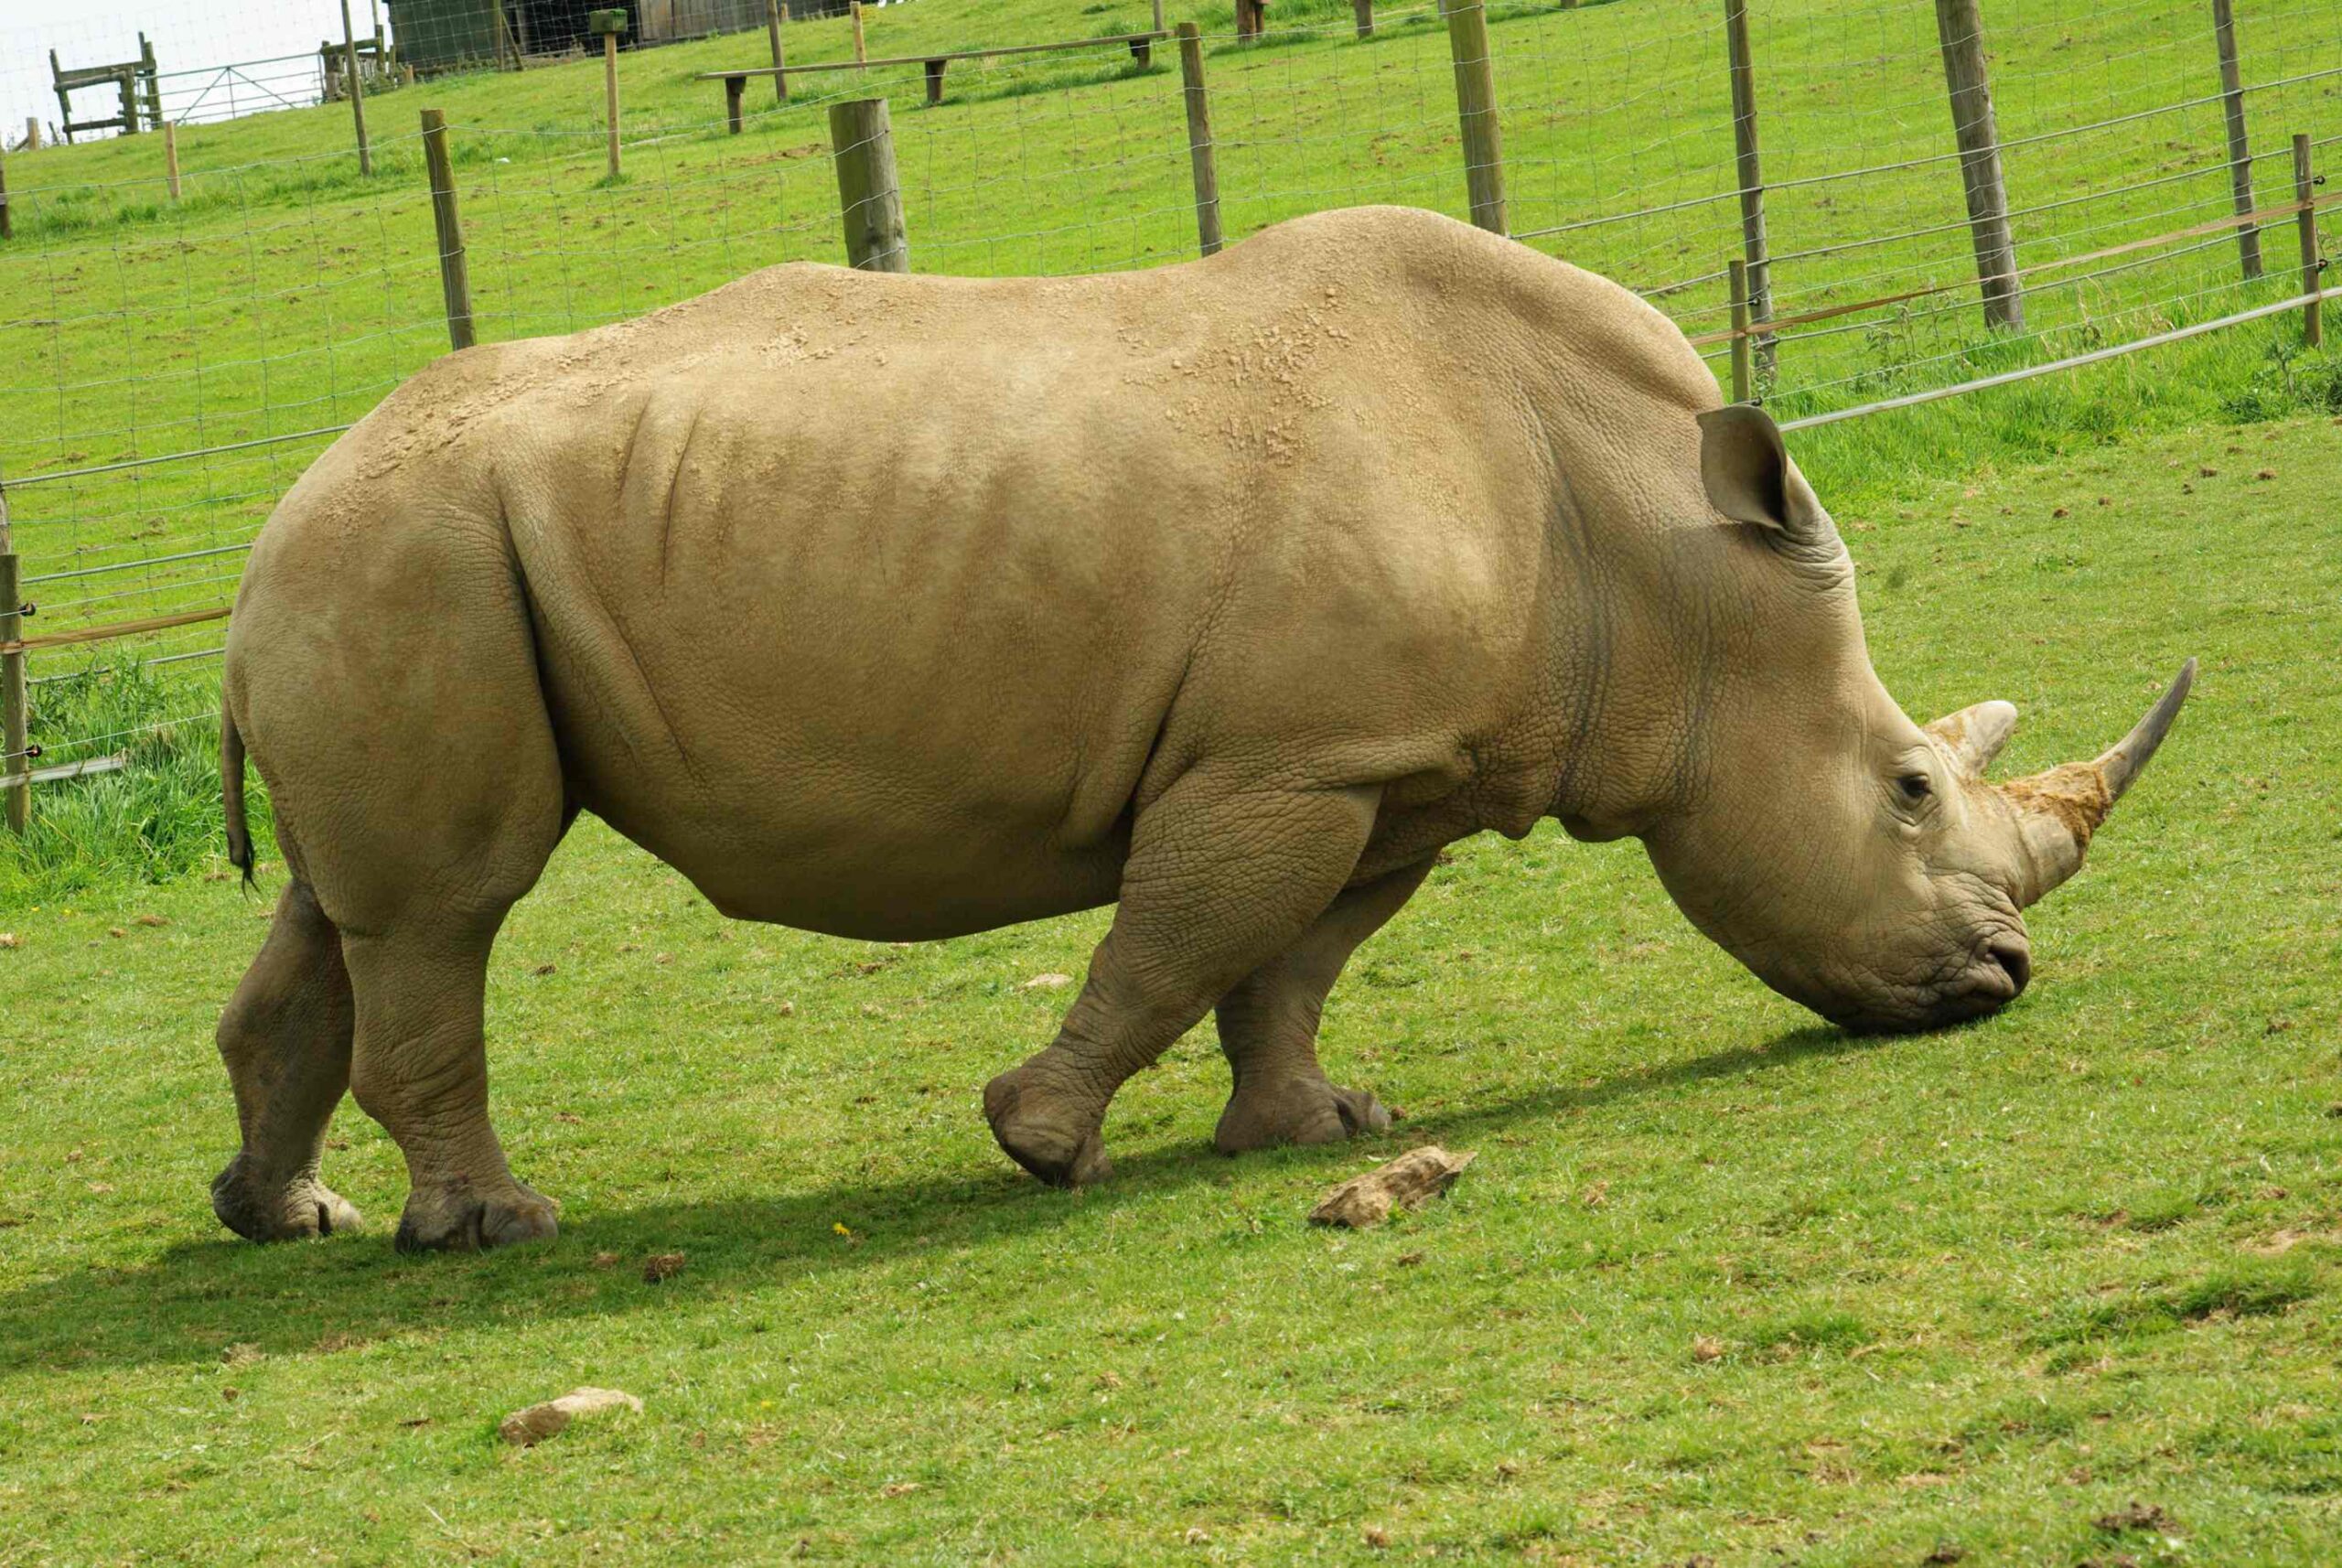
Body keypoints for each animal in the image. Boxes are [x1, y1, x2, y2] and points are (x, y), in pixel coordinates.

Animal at [210, 206, 2192, 1251]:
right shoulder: (1286, 755)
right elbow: (1180, 936)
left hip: (392, 565)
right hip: (411, 551)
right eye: (1908, 787)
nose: (2000, 979)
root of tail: (266, 529)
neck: (1660, 554)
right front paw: (1042, 1143)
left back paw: (284, 1216)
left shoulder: (1392, 760)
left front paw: (1319, 1124)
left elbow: (1289, 955)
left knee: (345, 909)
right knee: (450, 906)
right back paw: (499, 1228)